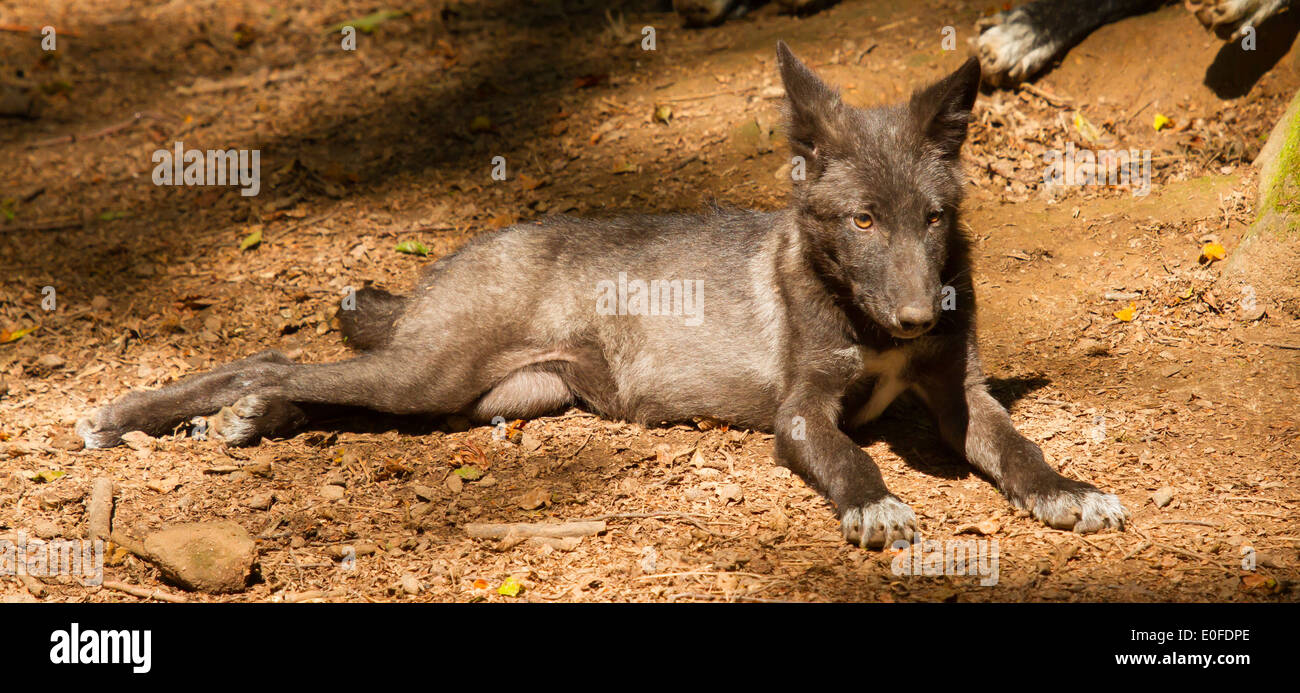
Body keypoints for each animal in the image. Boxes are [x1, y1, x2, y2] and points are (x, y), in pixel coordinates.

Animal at [76, 42, 1127, 548]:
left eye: (931, 221)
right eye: (861, 220)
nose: (916, 316)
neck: (867, 322)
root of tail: (454, 258)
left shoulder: (962, 395)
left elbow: (1019, 447)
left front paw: (1066, 489)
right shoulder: (801, 412)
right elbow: (850, 460)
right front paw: (875, 507)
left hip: (478, 399)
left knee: (306, 380)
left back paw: (254, 418)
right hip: (431, 372)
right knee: (272, 355)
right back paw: (140, 412)